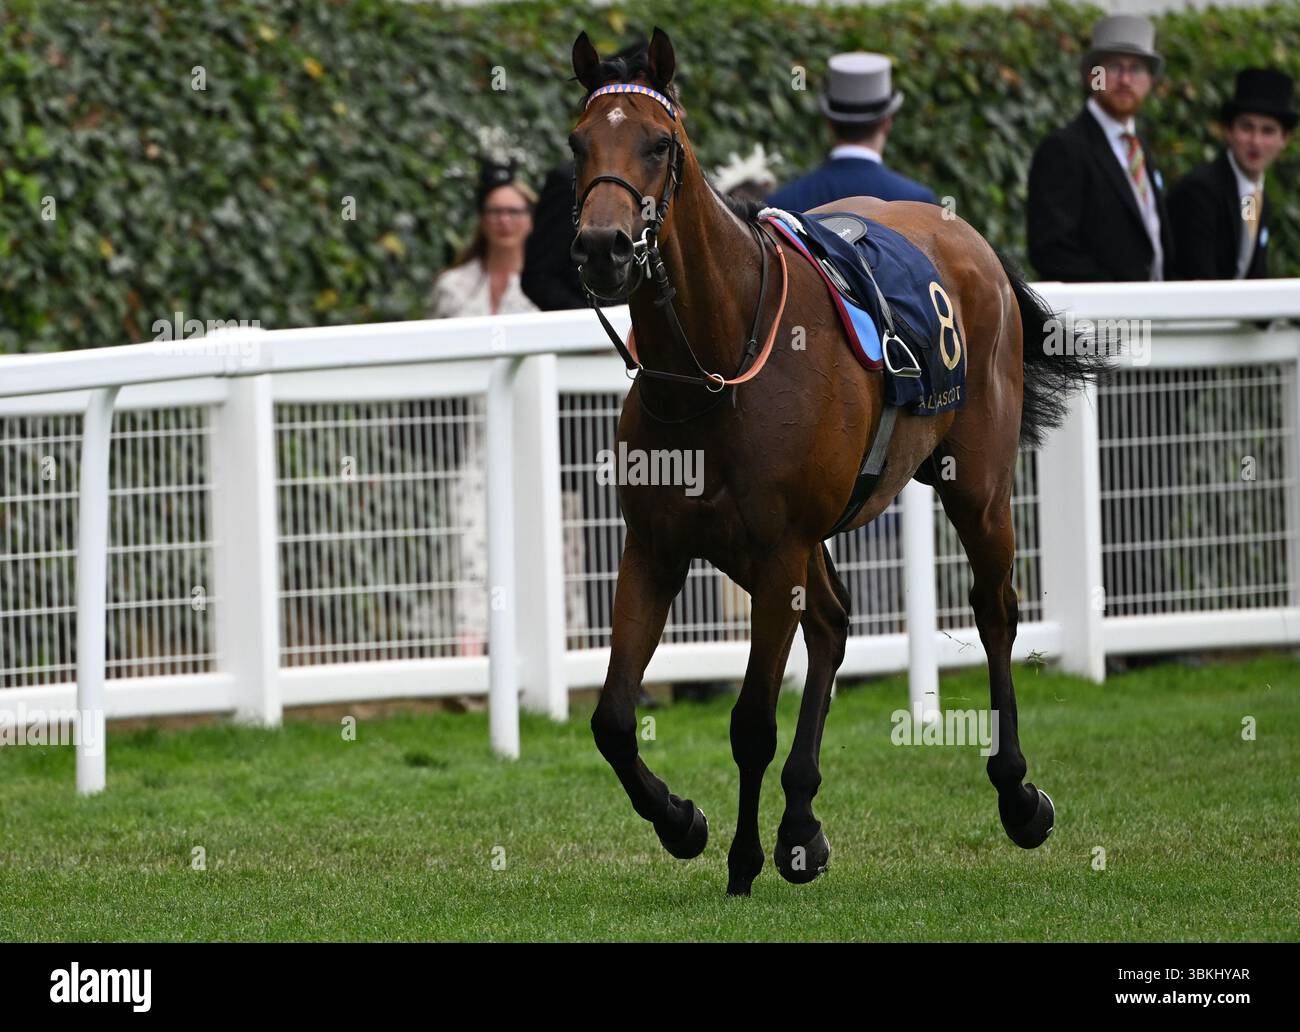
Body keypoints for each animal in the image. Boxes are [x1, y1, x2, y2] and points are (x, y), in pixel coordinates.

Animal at [568, 28, 1098, 896]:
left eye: (658, 144)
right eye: (578, 144)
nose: (602, 248)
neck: (718, 363)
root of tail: (967, 238)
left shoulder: (778, 548)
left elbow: (751, 721)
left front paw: (741, 860)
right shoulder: (657, 547)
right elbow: (612, 717)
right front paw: (684, 822)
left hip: (978, 488)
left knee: (994, 612)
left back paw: (1018, 795)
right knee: (833, 622)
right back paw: (801, 822)